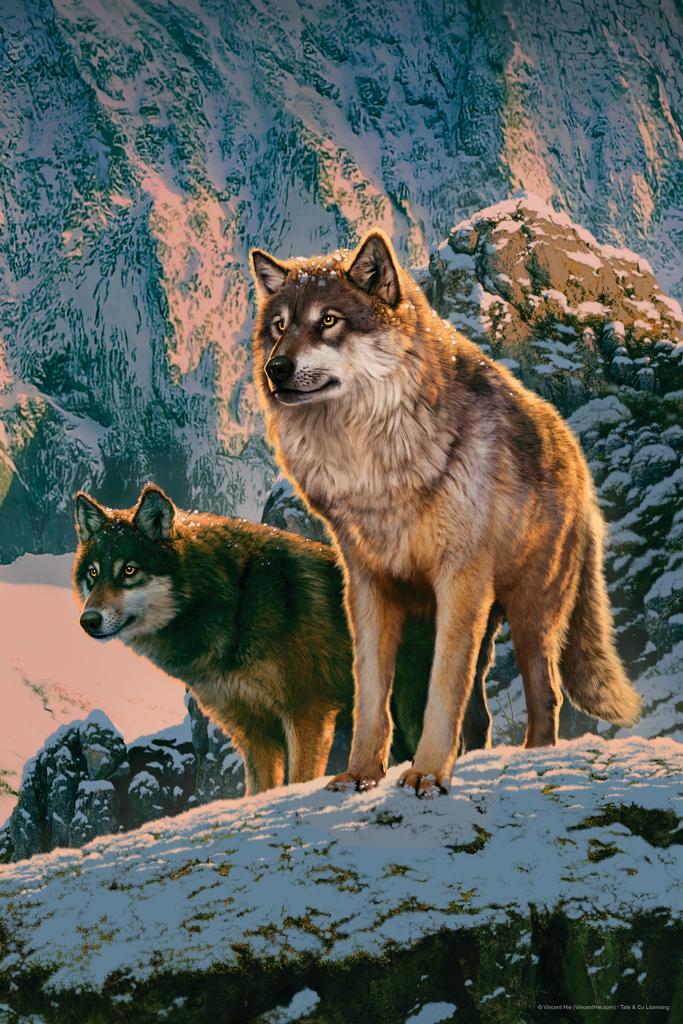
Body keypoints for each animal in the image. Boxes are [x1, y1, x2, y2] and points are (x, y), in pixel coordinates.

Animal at [72, 485, 495, 796]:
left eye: (129, 570)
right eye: (93, 573)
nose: (88, 621)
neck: (235, 600)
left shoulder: (307, 711)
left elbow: (299, 779)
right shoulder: (253, 732)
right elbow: (259, 791)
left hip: (411, 699)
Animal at [249, 230, 641, 797]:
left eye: (329, 321)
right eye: (280, 326)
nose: (275, 369)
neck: (373, 463)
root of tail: (578, 461)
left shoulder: (459, 581)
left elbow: (441, 691)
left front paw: (429, 774)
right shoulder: (367, 585)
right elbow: (372, 696)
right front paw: (361, 773)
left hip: (530, 615)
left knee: (545, 697)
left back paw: (531, 759)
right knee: (481, 714)